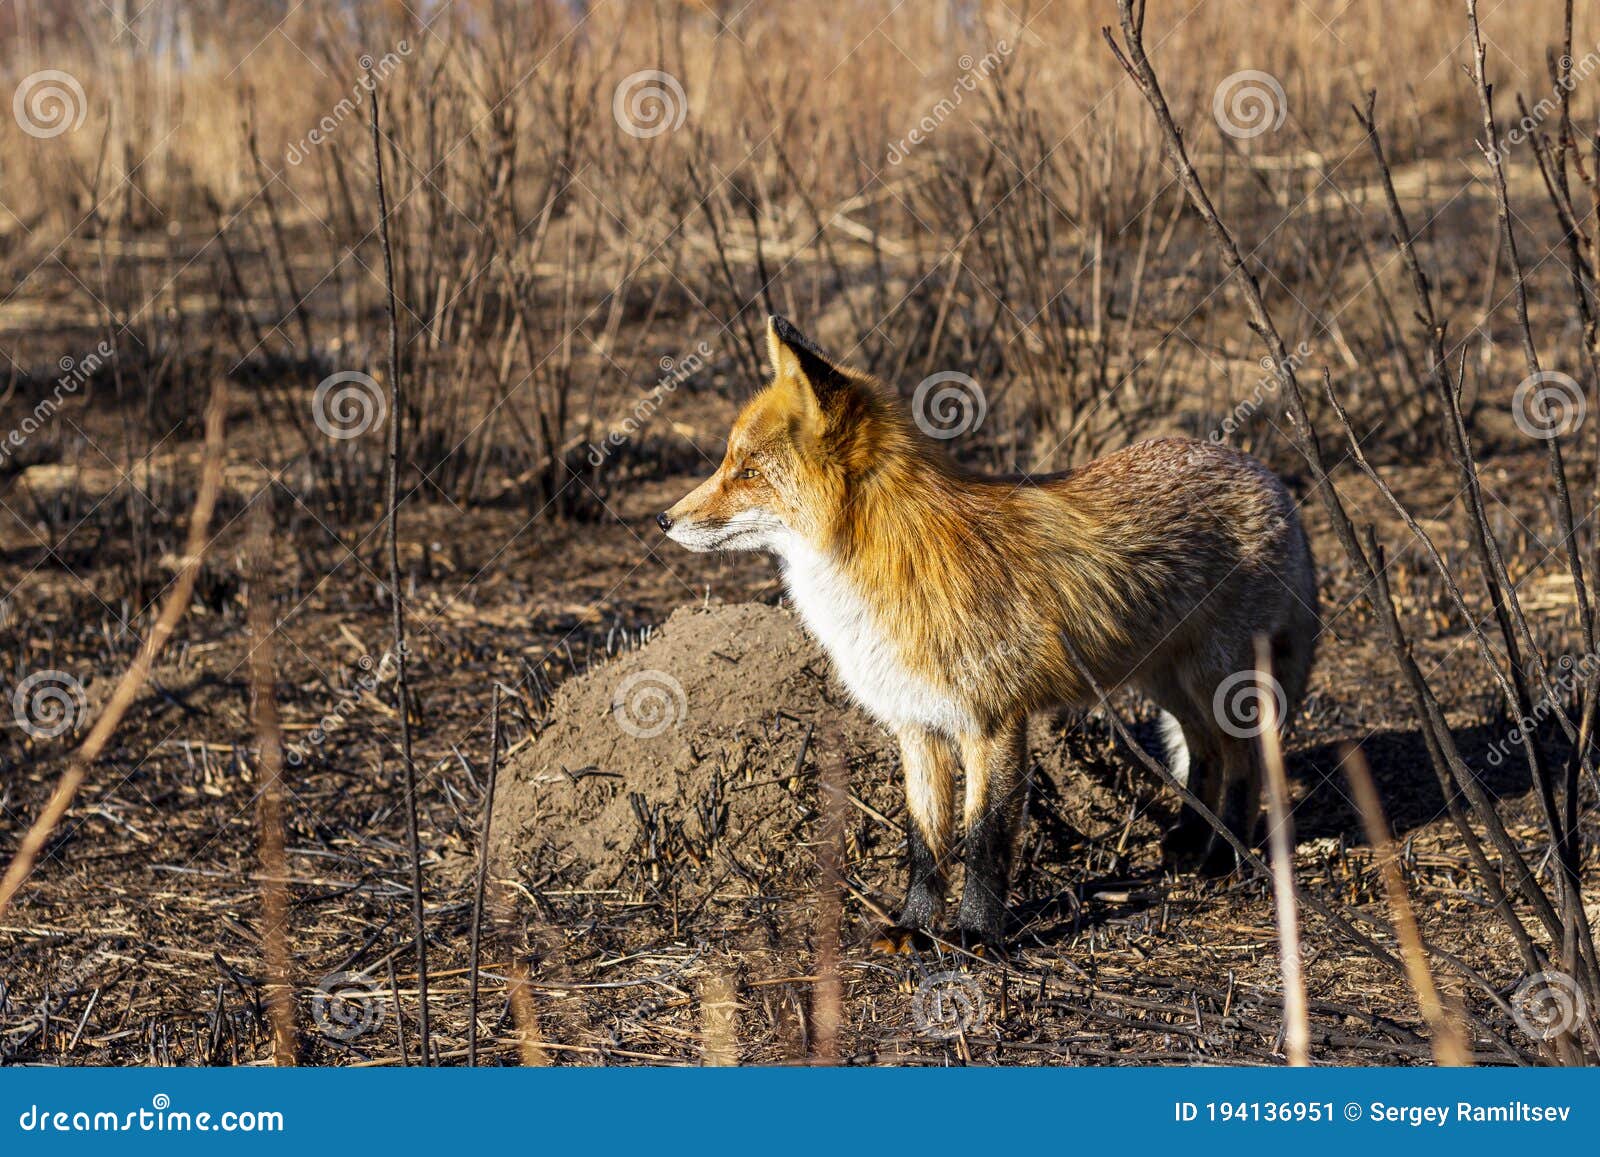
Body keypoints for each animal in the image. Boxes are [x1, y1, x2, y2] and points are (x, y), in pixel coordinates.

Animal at [659, 316, 1318, 951]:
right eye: (728, 461)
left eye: (747, 470)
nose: (665, 520)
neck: (894, 562)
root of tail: (1265, 475)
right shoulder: (916, 725)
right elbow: (924, 841)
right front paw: (915, 927)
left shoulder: (994, 721)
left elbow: (985, 838)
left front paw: (977, 935)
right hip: (1162, 679)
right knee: (1203, 748)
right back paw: (1188, 838)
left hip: (1213, 676)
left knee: (1243, 758)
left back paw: (1229, 856)